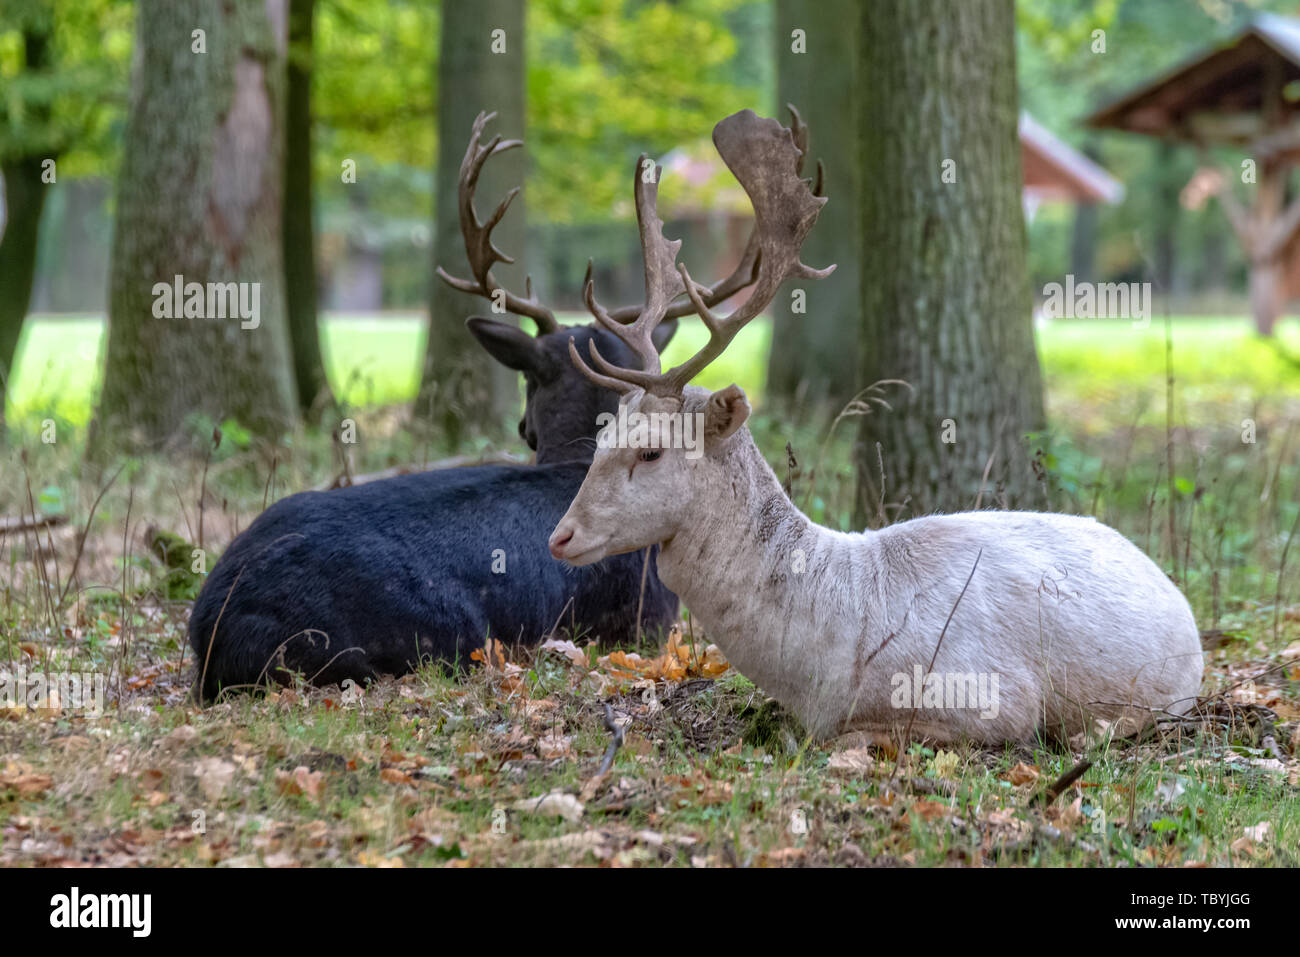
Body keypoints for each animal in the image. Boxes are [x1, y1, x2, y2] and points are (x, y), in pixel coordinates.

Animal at [547, 108, 1205, 746]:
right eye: (601, 438)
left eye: (651, 453)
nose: (562, 537)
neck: (825, 663)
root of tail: (1178, 597)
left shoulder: (993, 697)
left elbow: (852, 740)